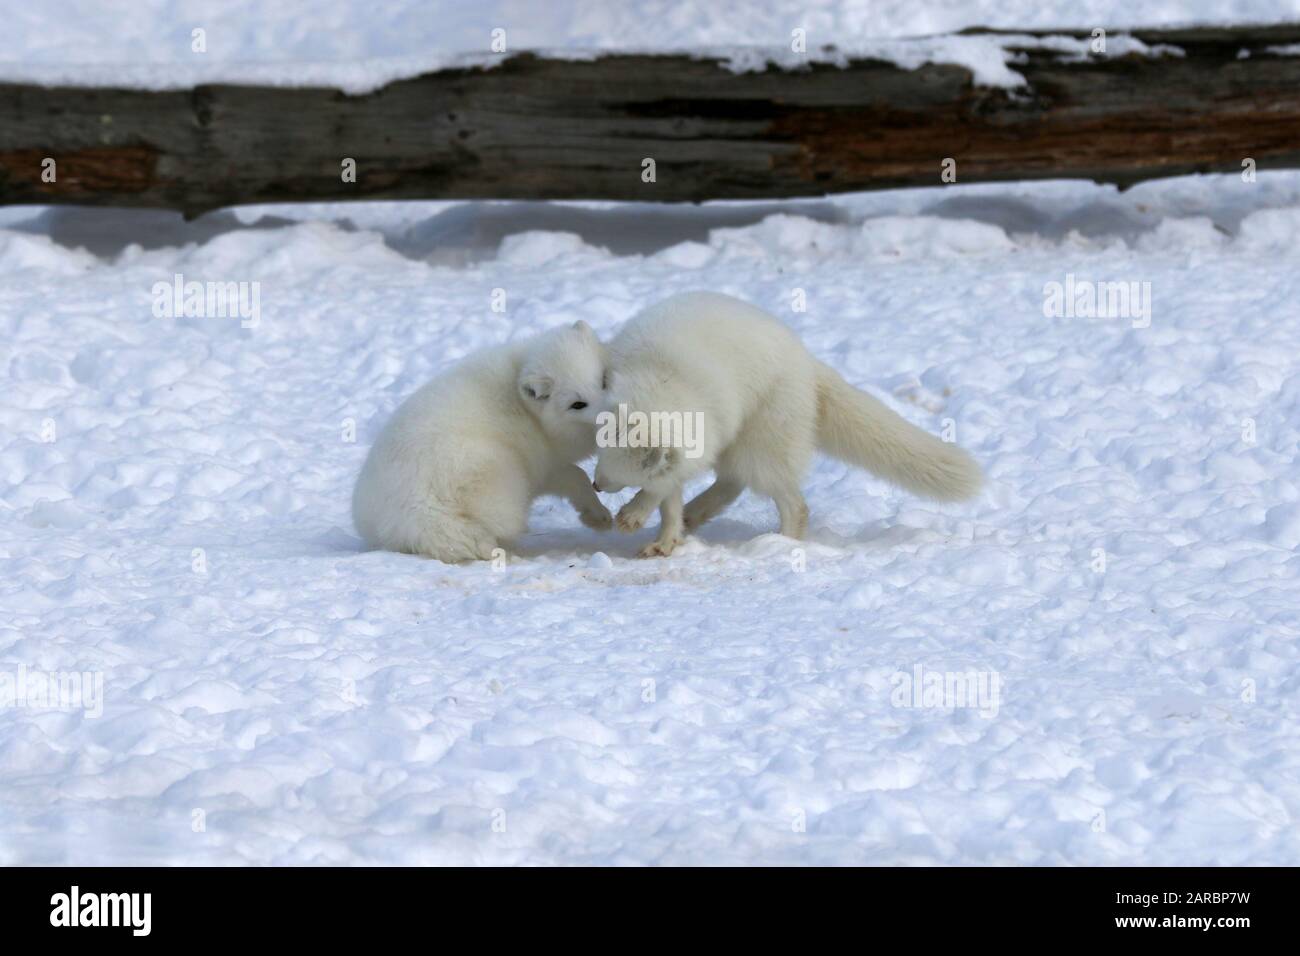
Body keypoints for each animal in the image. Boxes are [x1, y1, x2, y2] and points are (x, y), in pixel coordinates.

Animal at [352, 321, 612, 563]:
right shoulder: (543, 463)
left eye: (603, 381)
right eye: (577, 404)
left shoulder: (546, 468)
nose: (611, 414)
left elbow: (577, 478)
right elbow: (577, 476)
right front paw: (600, 516)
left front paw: (597, 515)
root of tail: (413, 513)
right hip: (499, 470)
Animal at [591, 292, 982, 557]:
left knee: (790, 501)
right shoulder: (687, 449)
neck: (664, 377)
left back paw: (783, 545)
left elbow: (660, 488)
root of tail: (808, 361)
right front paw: (665, 538)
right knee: (733, 482)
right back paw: (695, 515)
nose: (596, 484)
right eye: (598, 456)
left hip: (764, 442)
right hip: (744, 444)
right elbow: (667, 492)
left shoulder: (690, 443)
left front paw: (635, 515)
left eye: (614, 472)